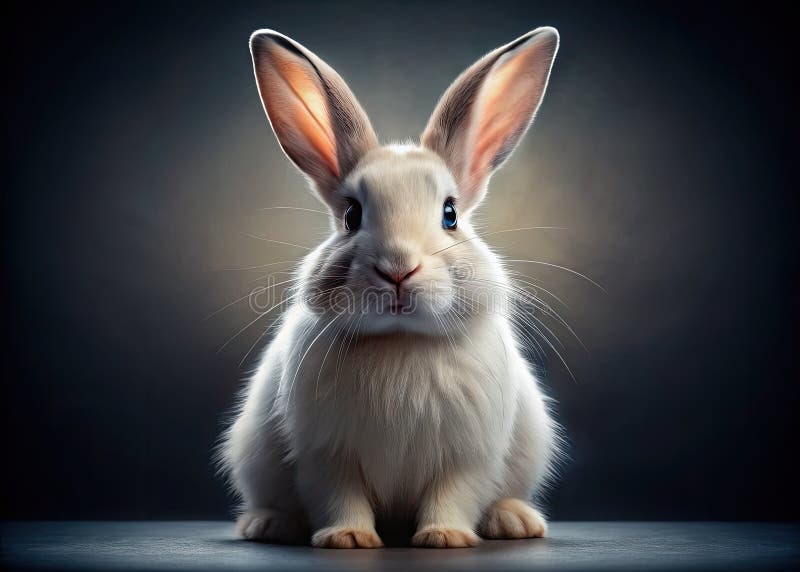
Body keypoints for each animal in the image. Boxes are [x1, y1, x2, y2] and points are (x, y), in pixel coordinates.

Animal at [219, 26, 562, 549]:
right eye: (351, 216)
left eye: (450, 214)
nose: (398, 269)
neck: (401, 341)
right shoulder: (326, 454)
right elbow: (339, 496)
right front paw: (348, 539)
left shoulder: (467, 455)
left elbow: (453, 494)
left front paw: (444, 537)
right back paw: (270, 524)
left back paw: (515, 521)